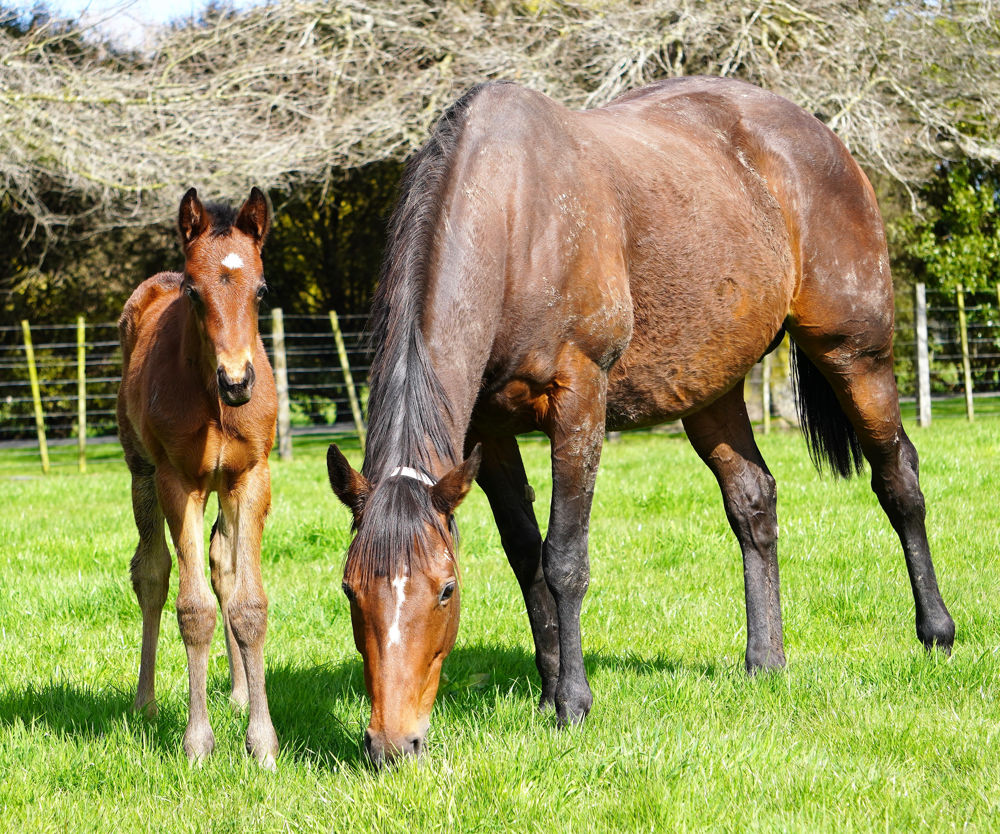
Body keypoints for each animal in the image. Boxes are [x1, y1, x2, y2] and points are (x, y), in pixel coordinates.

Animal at [117, 187, 279, 768]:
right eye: (193, 292)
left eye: (261, 289)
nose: (237, 381)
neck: (215, 404)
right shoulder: (177, 481)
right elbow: (193, 609)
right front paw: (197, 742)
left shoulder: (251, 477)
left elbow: (248, 604)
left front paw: (262, 742)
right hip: (142, 473)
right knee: (152, 573)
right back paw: (144, 703)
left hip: (222, 487)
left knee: (221, 567)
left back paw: (237, 692)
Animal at [325, 77, 955, 767]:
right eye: (350, 591)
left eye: (445, 589)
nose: (391, 744)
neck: (518, 216)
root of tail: (823, 139)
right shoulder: (485, 431)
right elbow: (525, 557)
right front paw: (548, 691)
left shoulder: (579, 401)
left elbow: (562, 557)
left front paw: (572, 705)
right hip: (711, 388)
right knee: (753, 501)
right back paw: (766, 661)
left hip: (855, 356)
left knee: (899, 480)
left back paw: (937, 633)